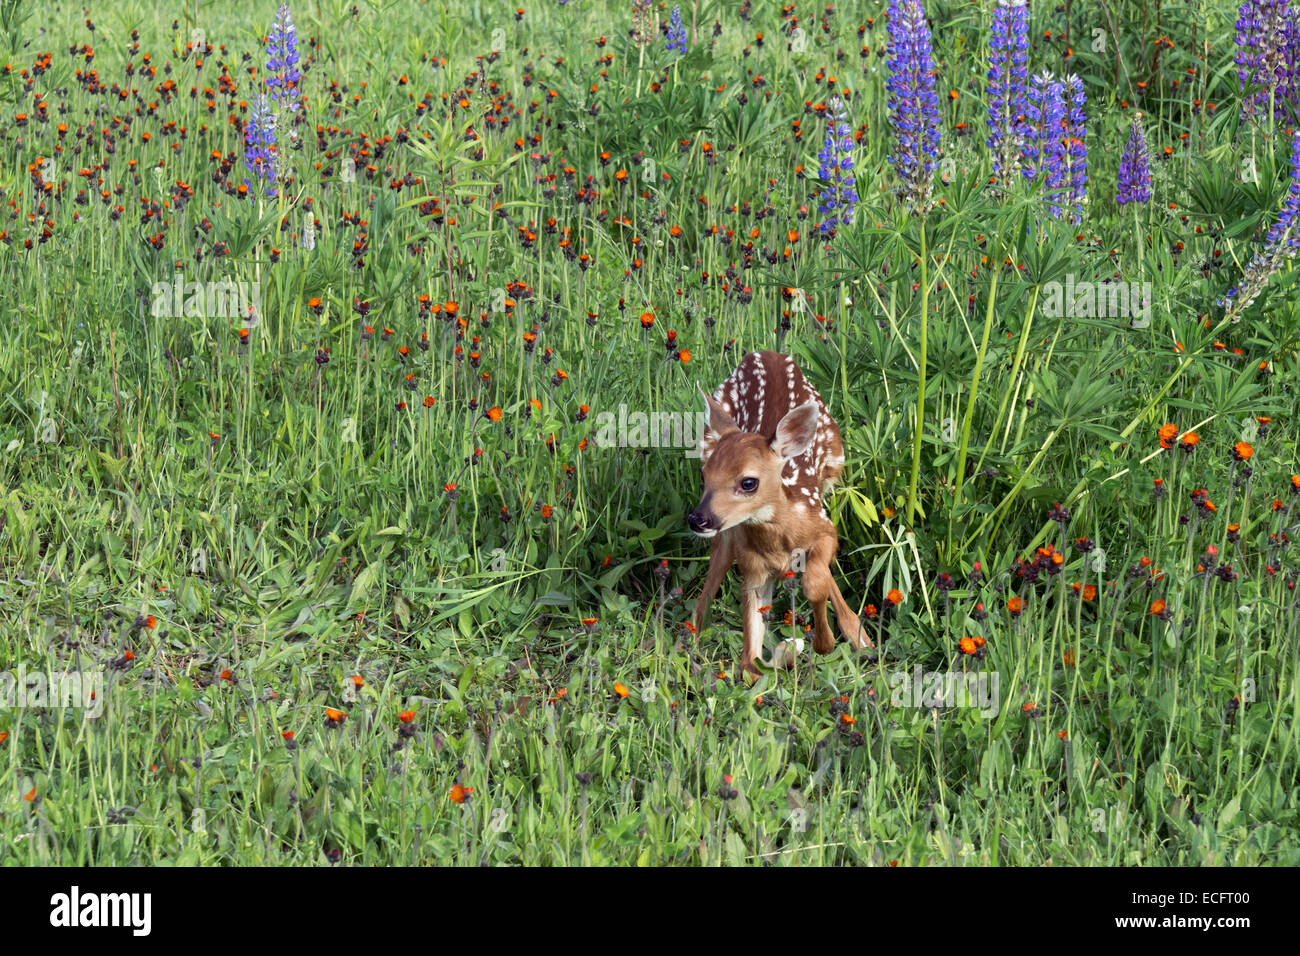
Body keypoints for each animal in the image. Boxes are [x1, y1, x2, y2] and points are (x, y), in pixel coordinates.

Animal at [687, 350, 871, 678]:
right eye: (704, 475)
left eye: (749, 482)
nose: (698, 519)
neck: (779, 541)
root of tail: (768, 353)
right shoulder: (753, 566)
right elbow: (750, 660)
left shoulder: (826, 529)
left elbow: (817, 580)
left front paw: (824, 643)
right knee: (718, 561)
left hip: (832, 466)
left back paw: (858, 635)